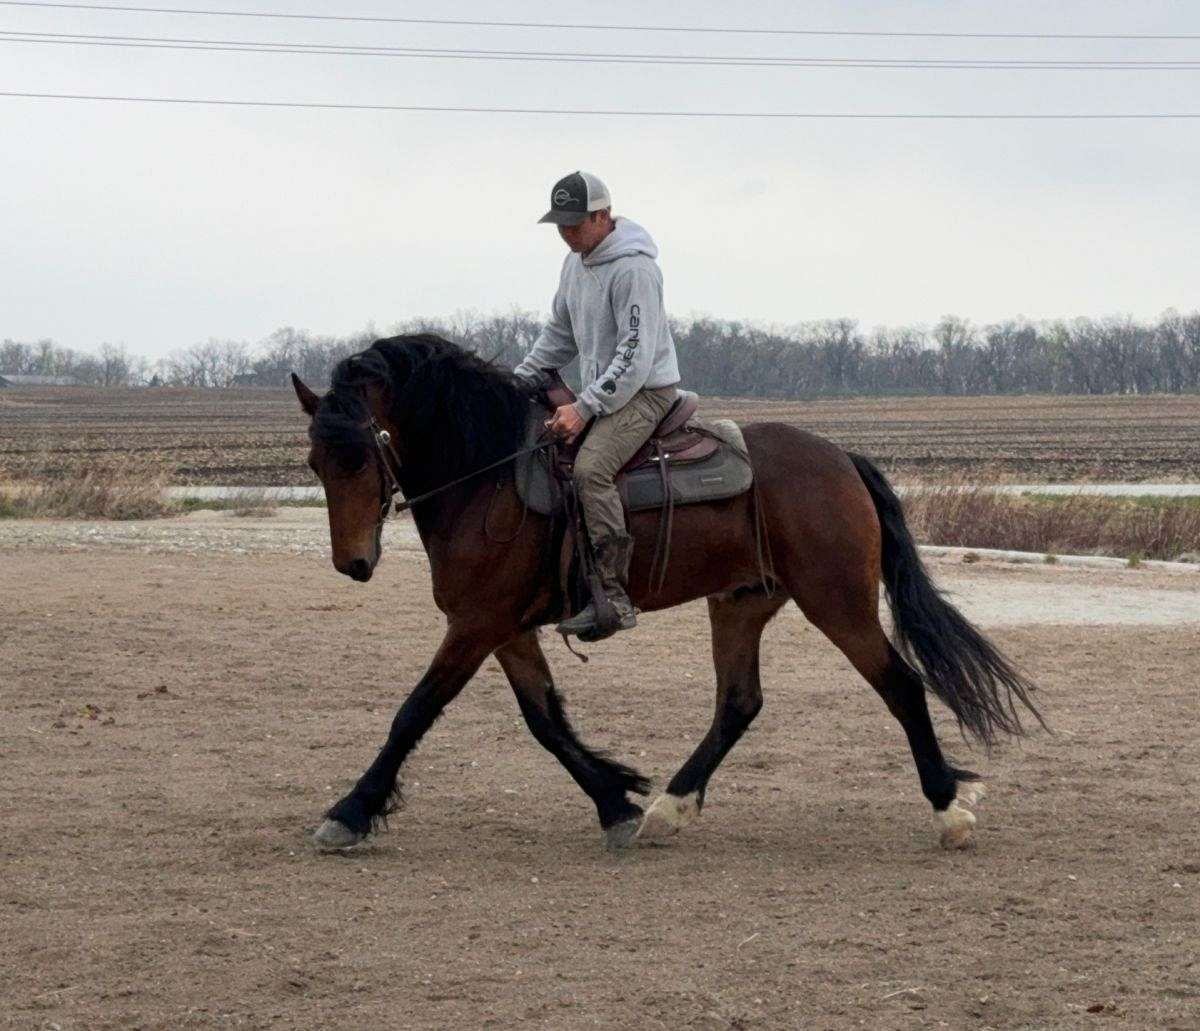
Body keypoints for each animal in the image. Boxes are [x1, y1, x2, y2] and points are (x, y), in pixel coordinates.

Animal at [291, 333, 1041, 852]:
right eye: (316, 461)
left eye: (359, 453)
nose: (352, 562)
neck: (489, 476)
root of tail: (840, 458)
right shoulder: (505, 628)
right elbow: (545, 720)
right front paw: (616, 799)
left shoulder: (477, 624)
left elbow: (414, 712)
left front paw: (349, 812)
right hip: (740, 603)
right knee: (739, 703)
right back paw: (670, 807)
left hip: (838, 603)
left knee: (901, 685)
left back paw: (948, 810)